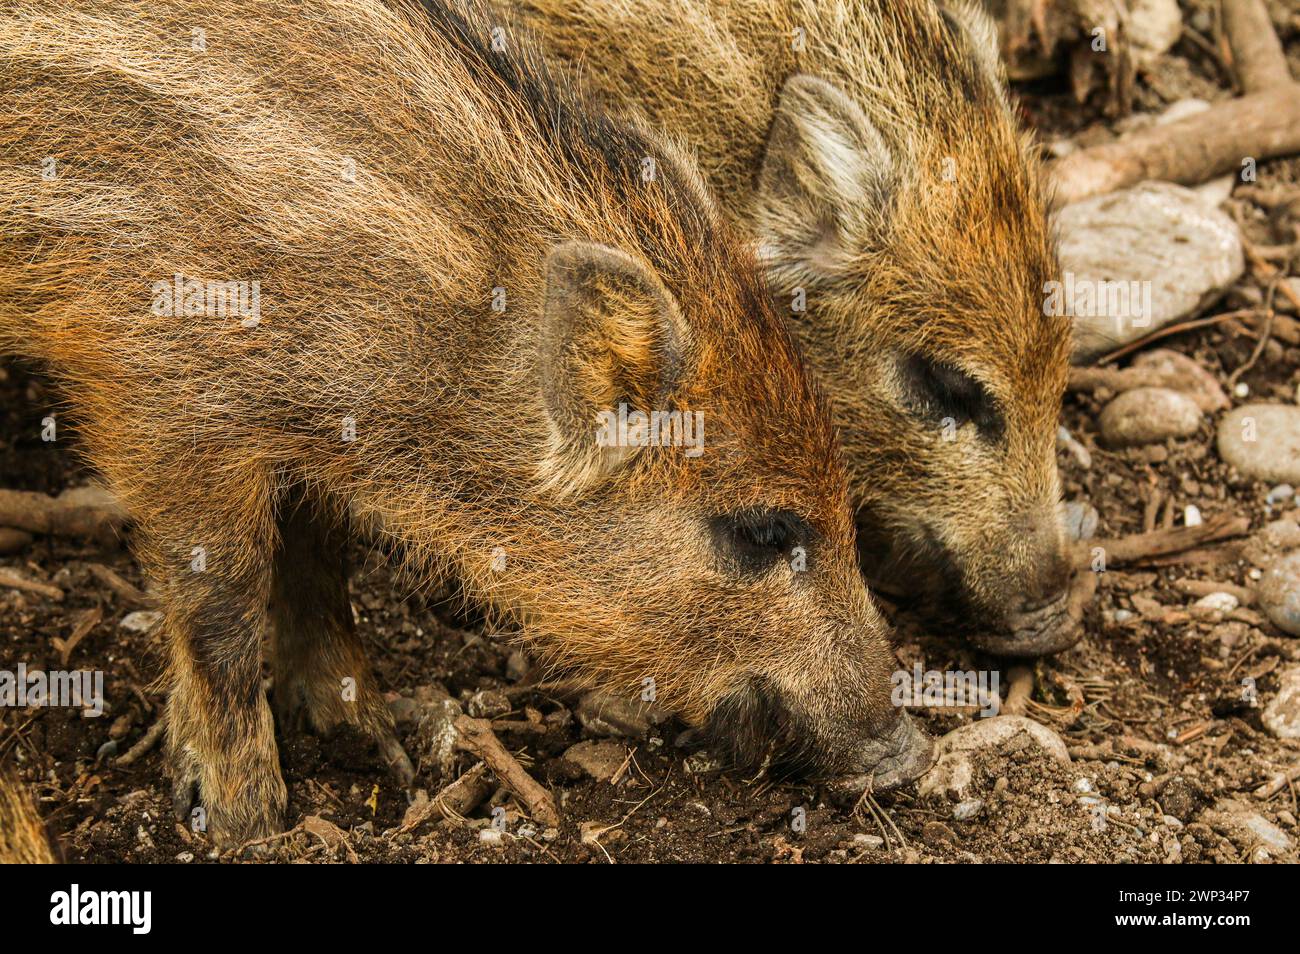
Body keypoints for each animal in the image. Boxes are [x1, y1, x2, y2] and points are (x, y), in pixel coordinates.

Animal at [0, 0, 931, 847]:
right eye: (764, 531)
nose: (905, 754)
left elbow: (320, 554)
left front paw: (369, 739)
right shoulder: (162, 400)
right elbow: (221, 604)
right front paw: (244, 821)